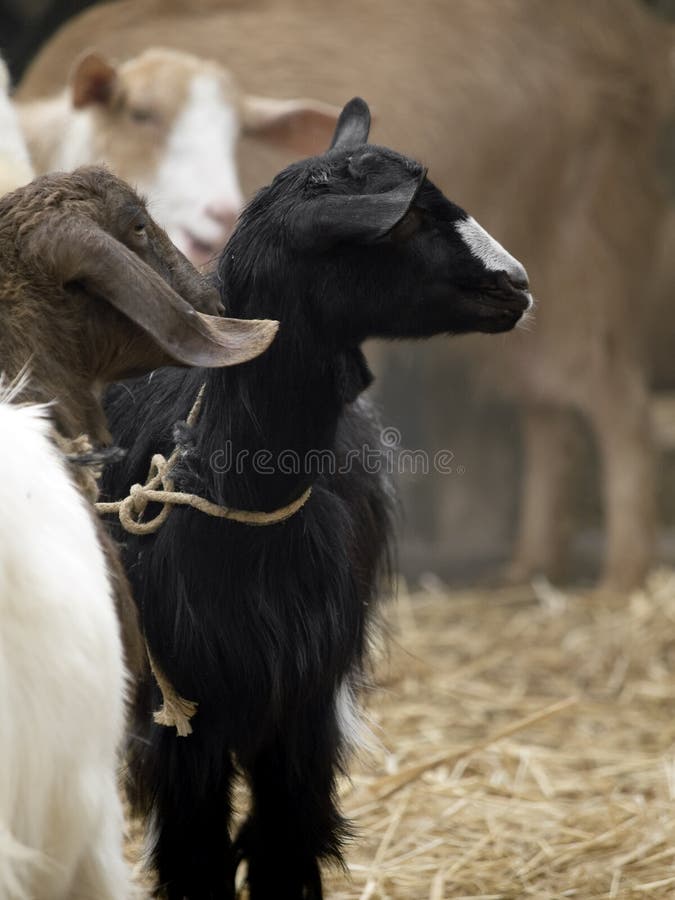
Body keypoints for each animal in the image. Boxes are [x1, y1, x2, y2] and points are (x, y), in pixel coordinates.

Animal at [100, 97, 531, 900]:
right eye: (407, 221)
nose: (517, 284)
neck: (240, 500)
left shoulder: (306, 704)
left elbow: (283, 841)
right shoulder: (181, 715)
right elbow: (197, 851)